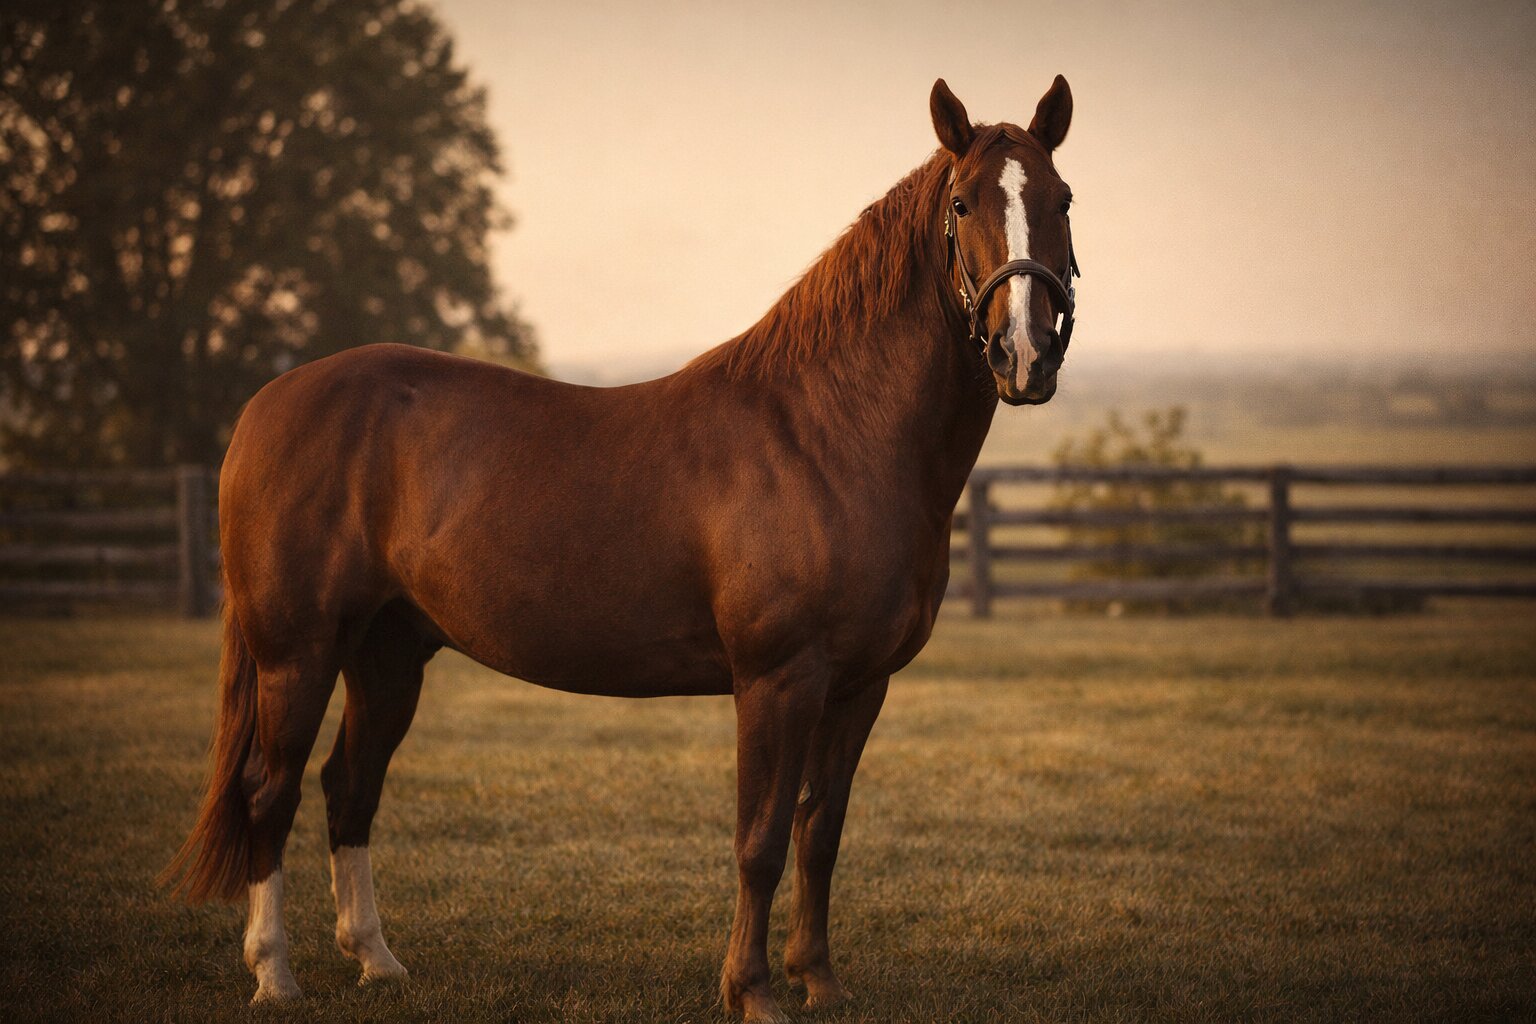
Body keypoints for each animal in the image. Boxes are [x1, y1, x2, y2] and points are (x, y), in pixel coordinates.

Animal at [164, 74, 1078, 1022]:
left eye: (1062, 200)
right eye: (964, 202)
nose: (1024, 354)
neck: (830, 432)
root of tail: (266, 407)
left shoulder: (860, 686)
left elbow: (820, 831)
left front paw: (818, 979)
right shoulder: (777, 680)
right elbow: (759, 838)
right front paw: (752, 990)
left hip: (386, 653)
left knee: (348, 787)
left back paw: (376, 959)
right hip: (297, 653)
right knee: (267, 792)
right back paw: (274, 973)